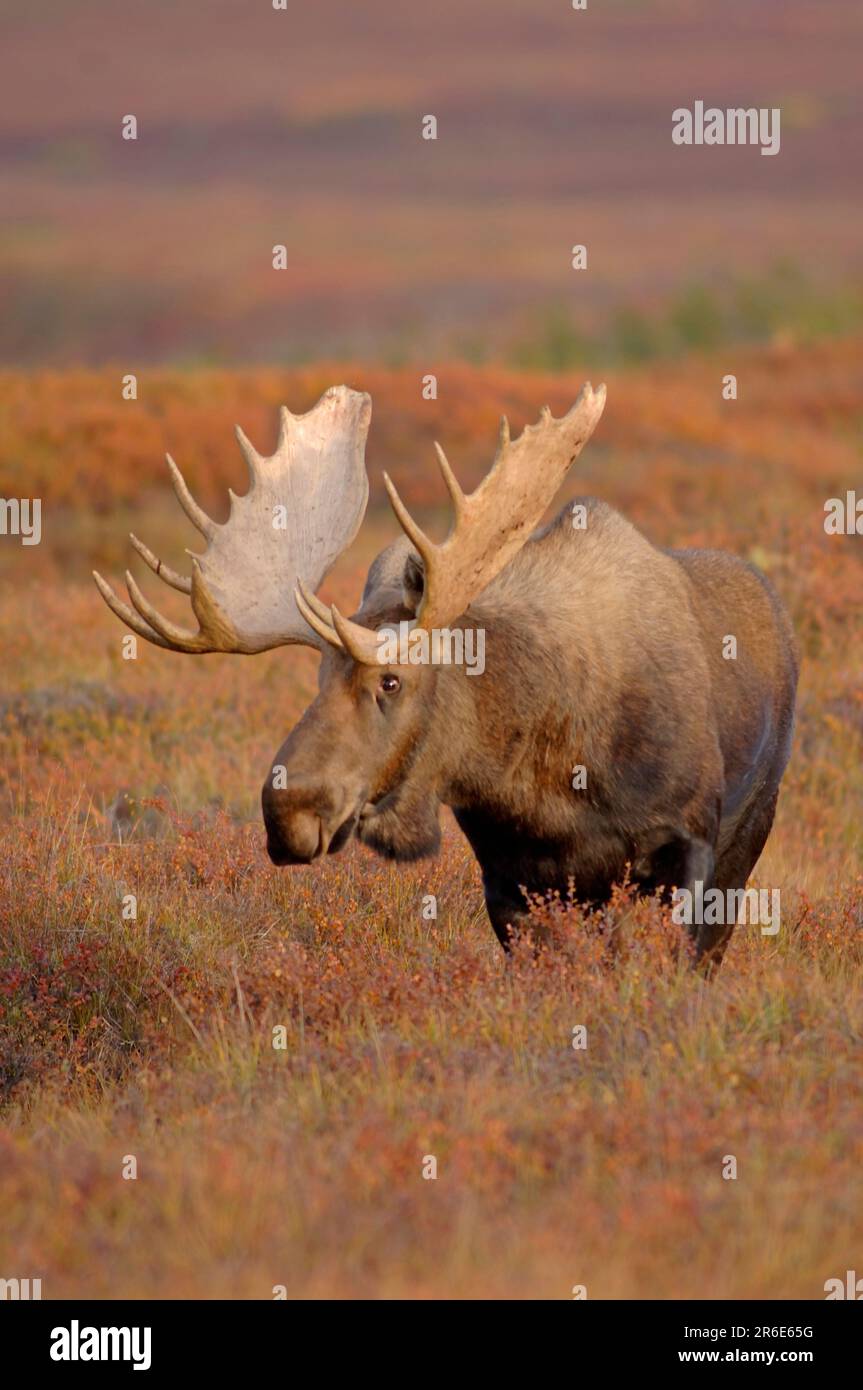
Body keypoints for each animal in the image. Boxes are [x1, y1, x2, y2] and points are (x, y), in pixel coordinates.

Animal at [94, 383, 798, 971]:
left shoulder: (685, 849)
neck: (548, 779)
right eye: (318, 676)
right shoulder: (511, 878)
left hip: (749, 836)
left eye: (391, 681)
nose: (285, 812)